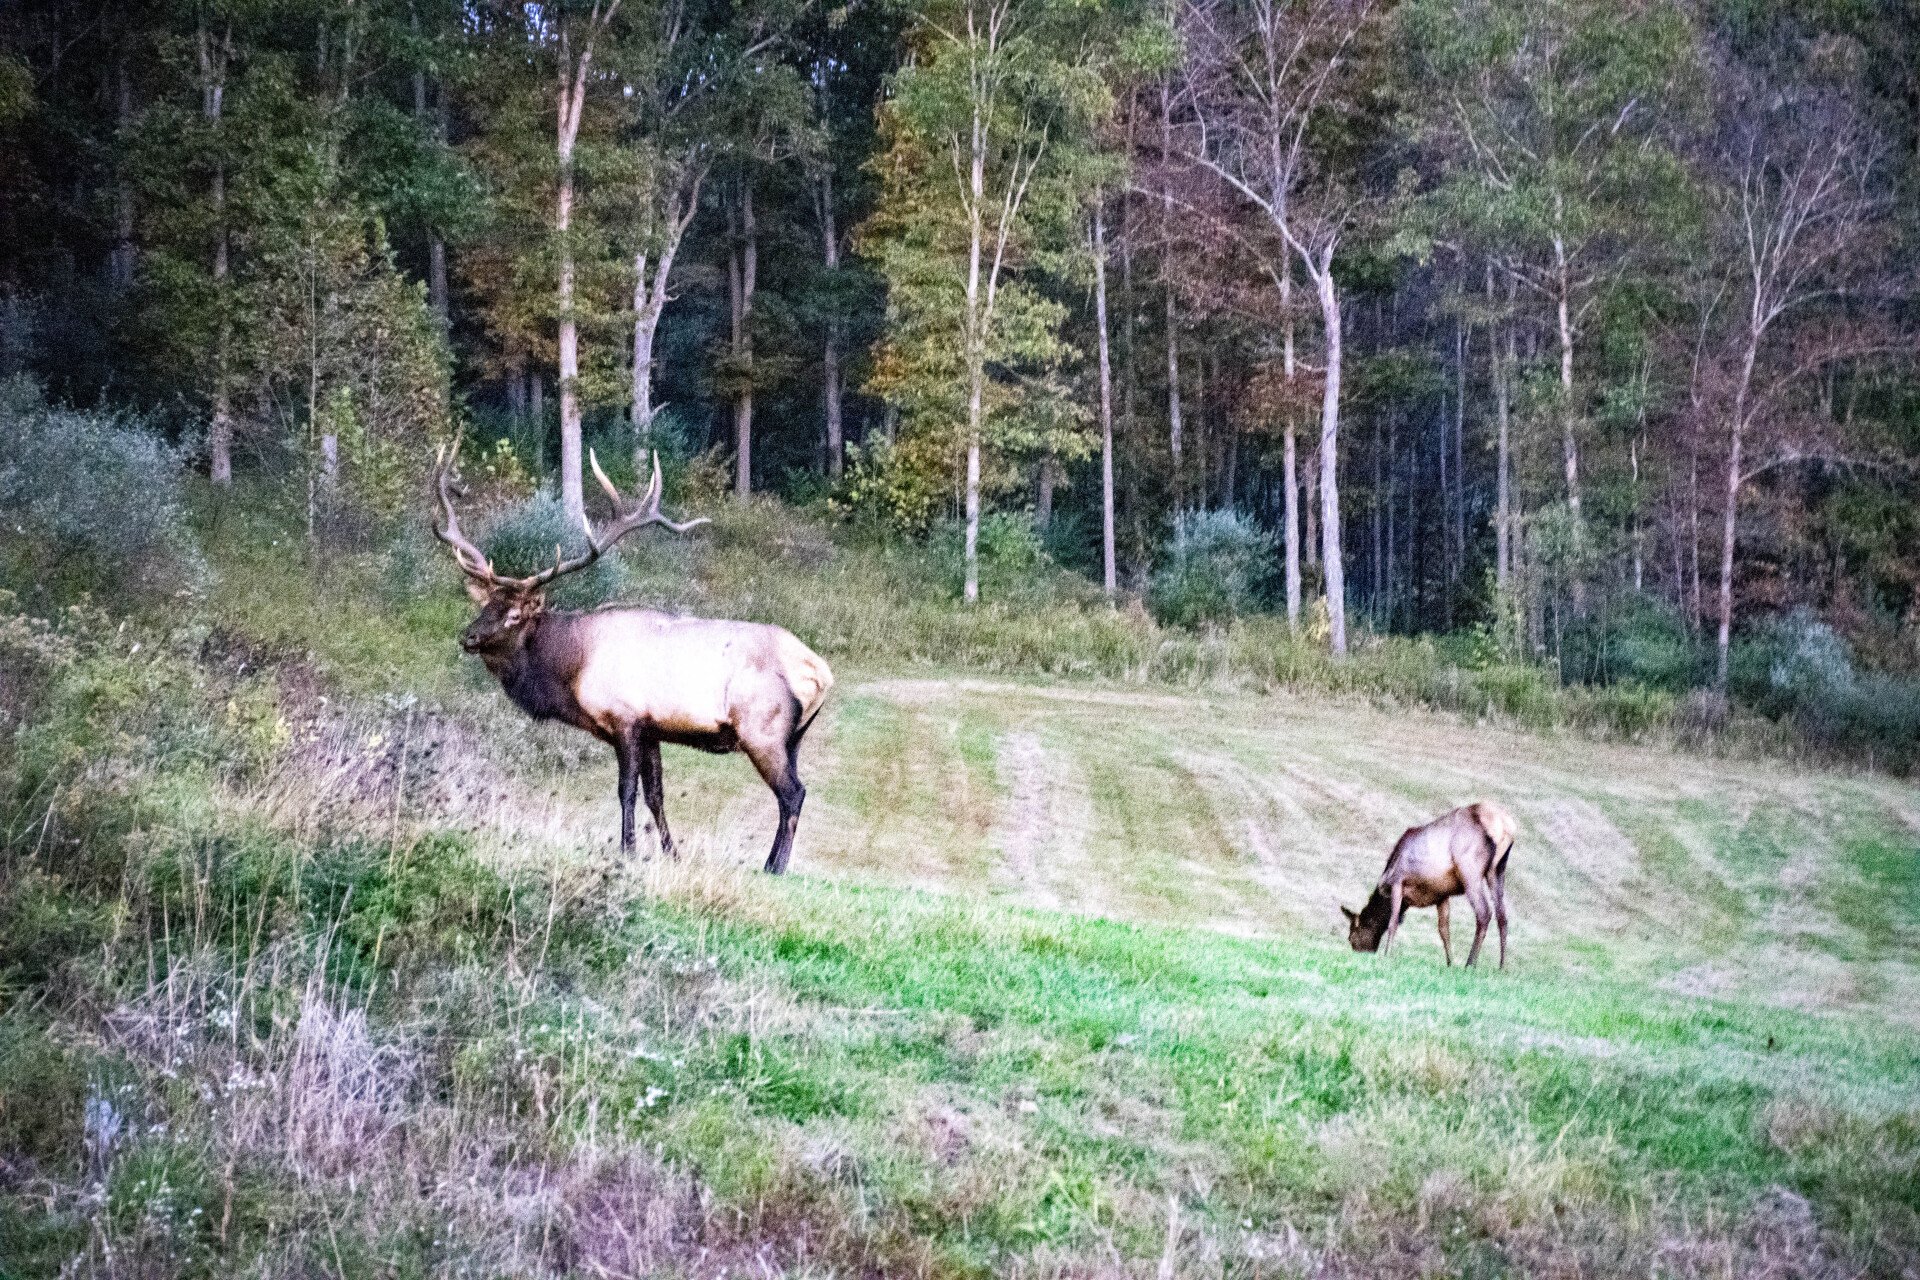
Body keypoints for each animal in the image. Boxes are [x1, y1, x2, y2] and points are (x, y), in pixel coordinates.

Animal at [431, 445, 833, 874]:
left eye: (514, 615)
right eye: (486, 605)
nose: (469, 636)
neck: (571, 670)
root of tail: (820, 672)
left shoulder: (624, 718)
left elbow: (626, 790)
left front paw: (628, 850)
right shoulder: (651, 728)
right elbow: (655, 794)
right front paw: (672, 854)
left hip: (763, 730)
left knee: (792, 793)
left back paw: (775, 868)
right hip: (794, 738)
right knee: (789, 793)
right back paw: (770, 862)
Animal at [1342, 802, 1517, 968]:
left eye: (1351, 936)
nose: (1359, 953)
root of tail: (1506, 826)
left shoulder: (1398, 882)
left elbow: (1393, 922)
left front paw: (1387, 955)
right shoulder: (1442, 895)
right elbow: (1444, 931)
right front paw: (1450, 963)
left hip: (1470, 870)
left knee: (1484, 913)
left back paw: (1470, 964)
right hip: (1497, 870)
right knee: (1502, 917)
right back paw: (1501, 967)